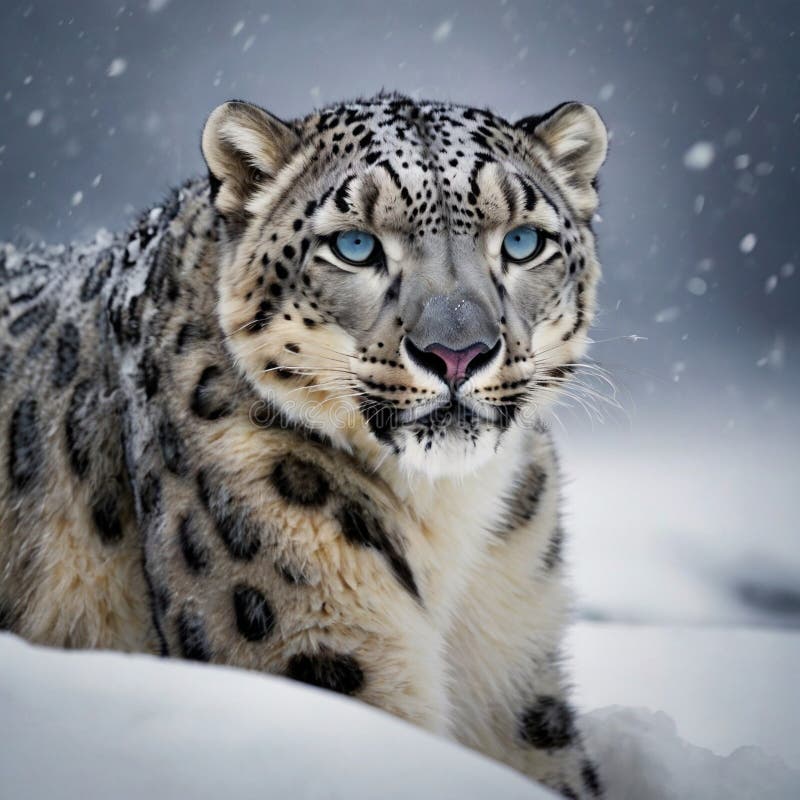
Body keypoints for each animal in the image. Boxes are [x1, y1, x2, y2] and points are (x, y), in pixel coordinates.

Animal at [0, 92, 607, 798]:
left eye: (522, 240)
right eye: (355, 244)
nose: (457, 352)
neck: (445, 517)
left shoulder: (518, 681)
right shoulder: (314, 649)